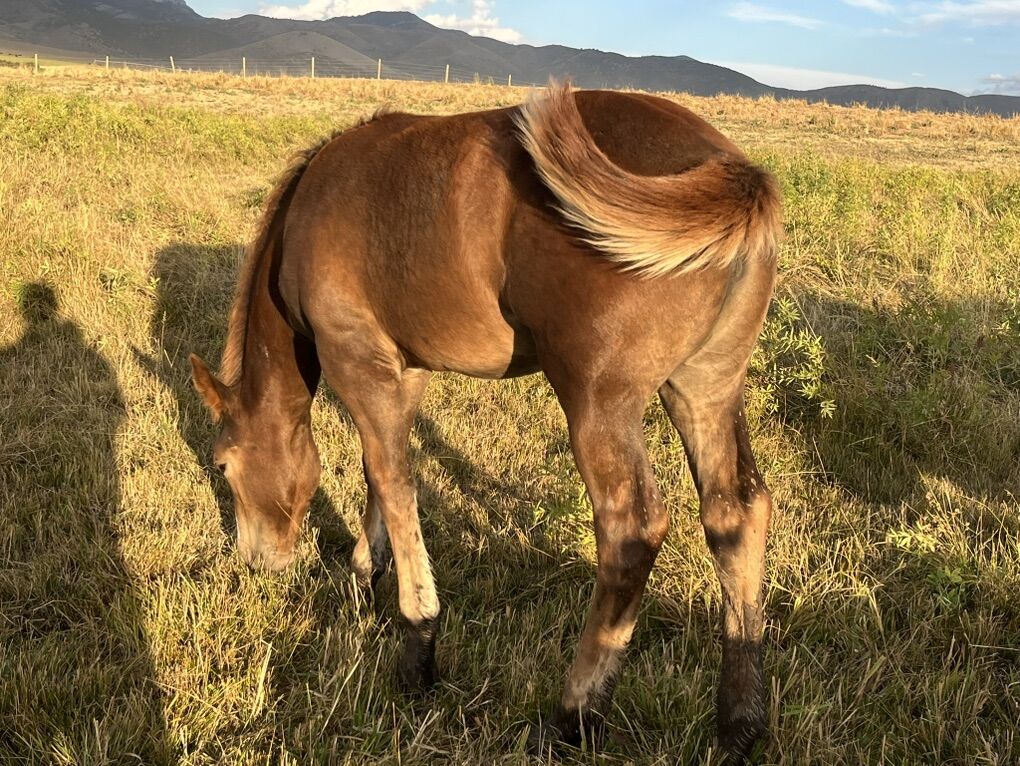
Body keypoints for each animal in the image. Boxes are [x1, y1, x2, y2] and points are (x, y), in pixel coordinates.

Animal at [190, 82, 782, 761]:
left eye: (222, 466)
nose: (257, 562)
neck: (308, 211)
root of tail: (734, 173)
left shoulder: (356, 361)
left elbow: (392, 480)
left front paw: (417, 642)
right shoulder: (406, 370)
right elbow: (378, 475)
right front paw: (364, 576)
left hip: (600, 403)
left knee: (630, 530)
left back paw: (574, 715)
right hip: (705, 388)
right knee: (735, 513)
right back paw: (739, 723)